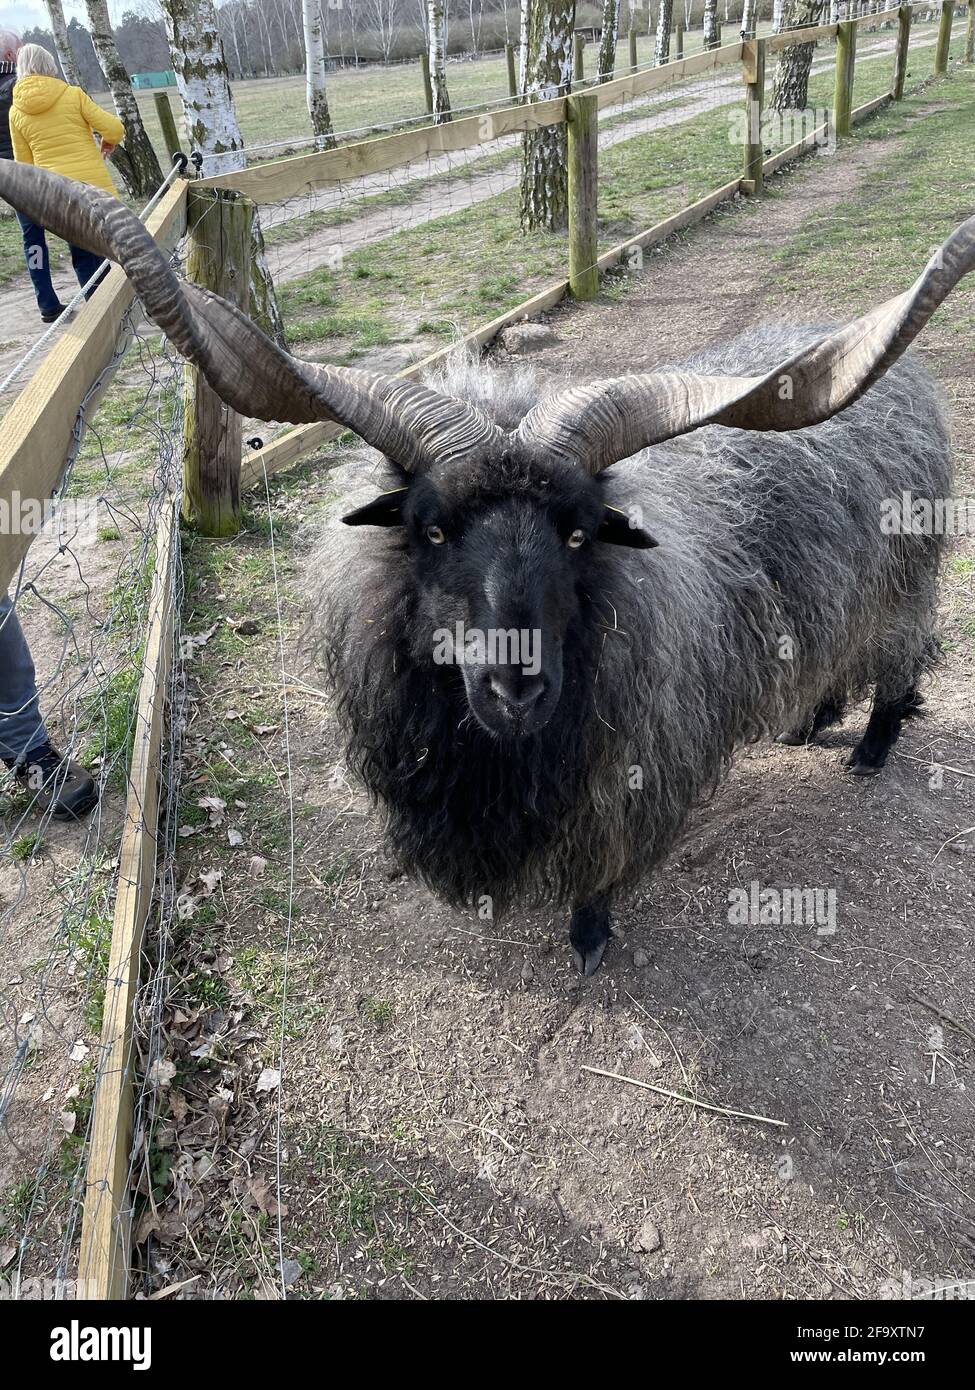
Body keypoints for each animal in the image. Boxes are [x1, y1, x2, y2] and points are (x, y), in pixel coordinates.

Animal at [2, 164, 970, 974]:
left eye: (577, 535)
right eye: (430, 530)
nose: (516, 685)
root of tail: (908, 384)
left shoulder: (625, 775)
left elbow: (598, 876)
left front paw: (588, 941)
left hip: (900, 585)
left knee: (898, 662)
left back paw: (869, 750)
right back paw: (811, 723)